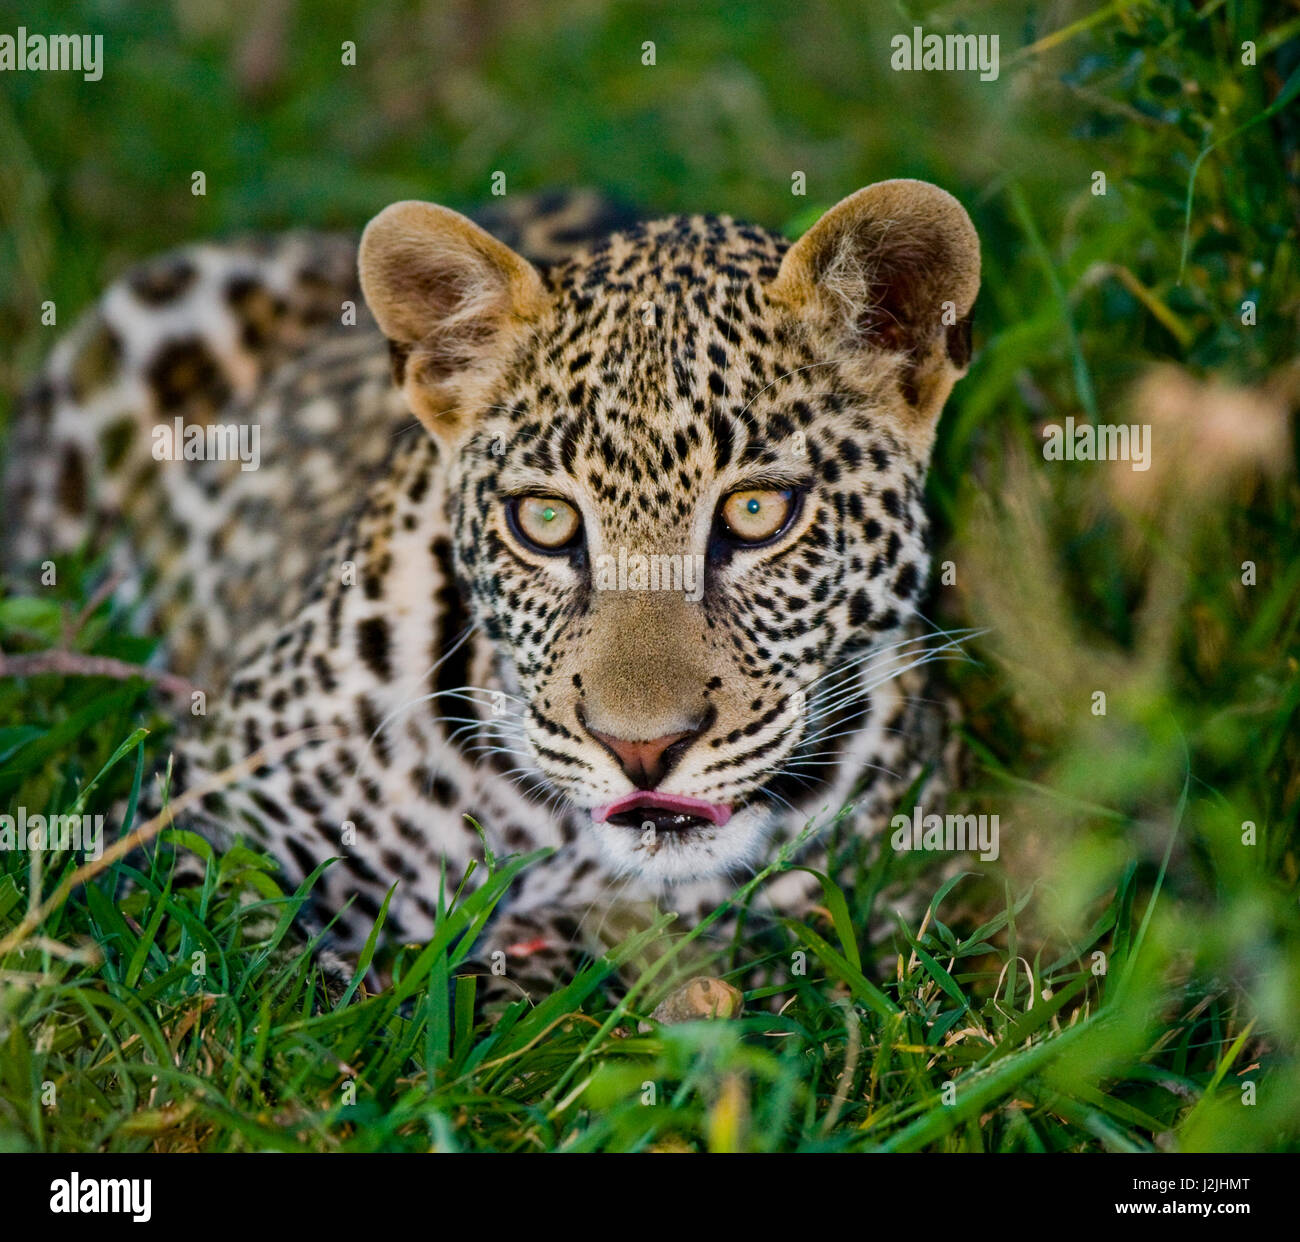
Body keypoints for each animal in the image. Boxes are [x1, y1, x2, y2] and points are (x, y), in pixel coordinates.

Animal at [3, 182, 980, 1004]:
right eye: (545, 521)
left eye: (756, 511)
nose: (642, 751)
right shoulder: (206, 809)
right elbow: (229, 946)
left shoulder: (895, 878)